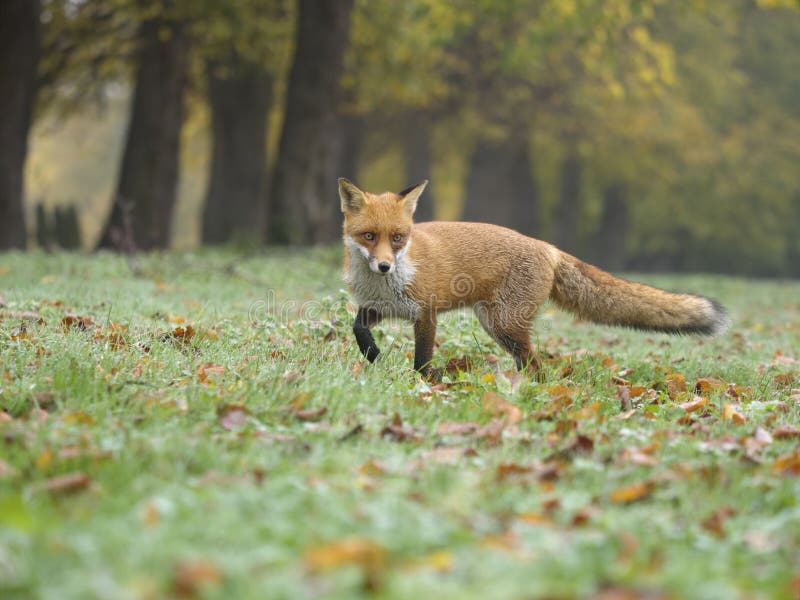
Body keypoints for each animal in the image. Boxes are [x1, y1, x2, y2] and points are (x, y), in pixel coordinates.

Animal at [339, 177, 729, 378]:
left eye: (398, 238)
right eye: (369, 236)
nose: (385, 266)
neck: (384, 284)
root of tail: (548, 247)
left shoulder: (425, 314)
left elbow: (422, 360)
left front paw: (420, 385)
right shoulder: (379, 307)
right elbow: (357, 327)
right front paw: (373, 356)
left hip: (503, 324)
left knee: (537, 366)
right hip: (497, 324)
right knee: (529, 363)